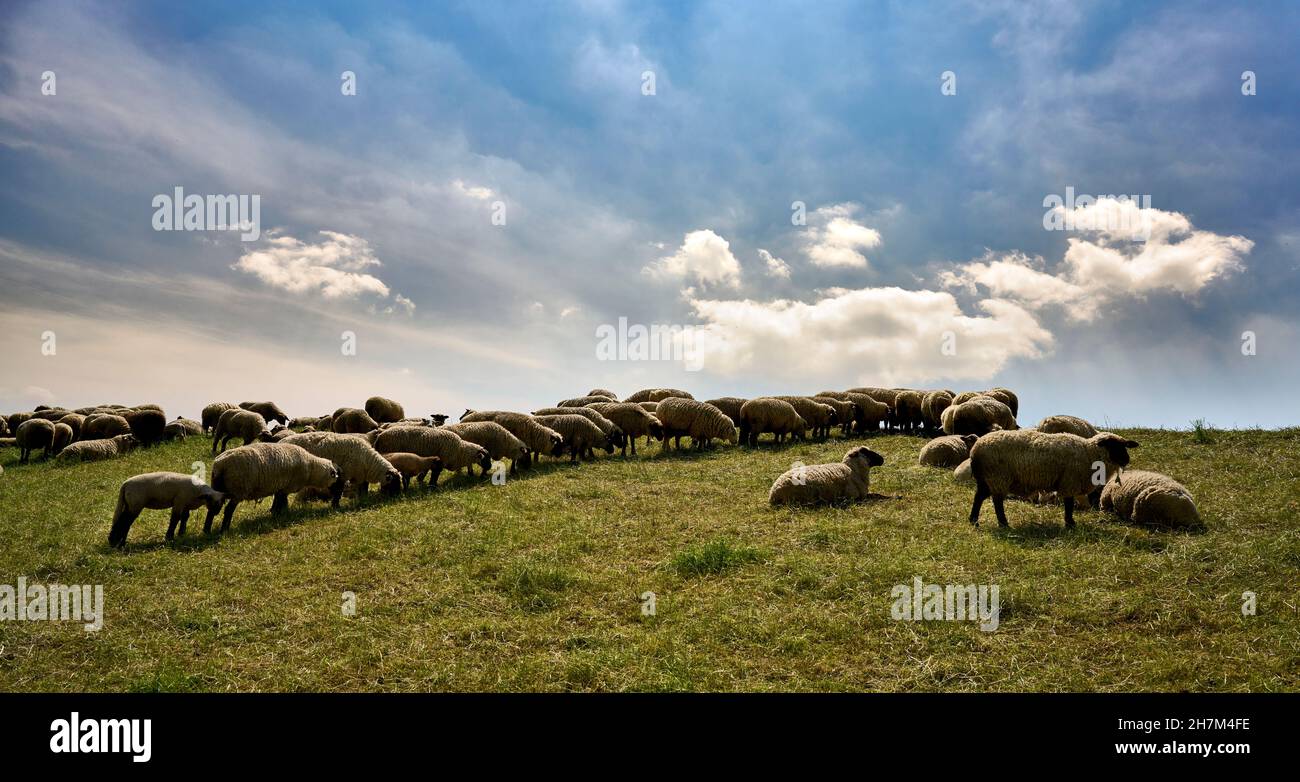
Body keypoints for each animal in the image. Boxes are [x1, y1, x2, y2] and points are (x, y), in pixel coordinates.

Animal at [203, 442, 340, 533]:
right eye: (335, 479)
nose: (336, 495)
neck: (311, 468)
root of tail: (220, 465)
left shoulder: (280, 486)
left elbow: (278, 499)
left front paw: (275, 512)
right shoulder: (287, 486)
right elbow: (283, 500)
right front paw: (284, 513)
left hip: (219, 489)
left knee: (212, 509)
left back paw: (207, 530)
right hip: (239, 489)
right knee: (228, 510)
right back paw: (224, 530)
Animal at [968, 430, 1139, 528]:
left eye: (1124, 445)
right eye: (1113, 445)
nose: (1126, 459)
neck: (1089, 453)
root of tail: (975, 450)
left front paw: (1070, 523)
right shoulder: (1069, 481)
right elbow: (1069, 504)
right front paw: (1070, 524)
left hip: (987, 479)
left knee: (979, 497)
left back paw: (974, 520)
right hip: (997, 476)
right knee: (996, 501)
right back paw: (1003, 523)